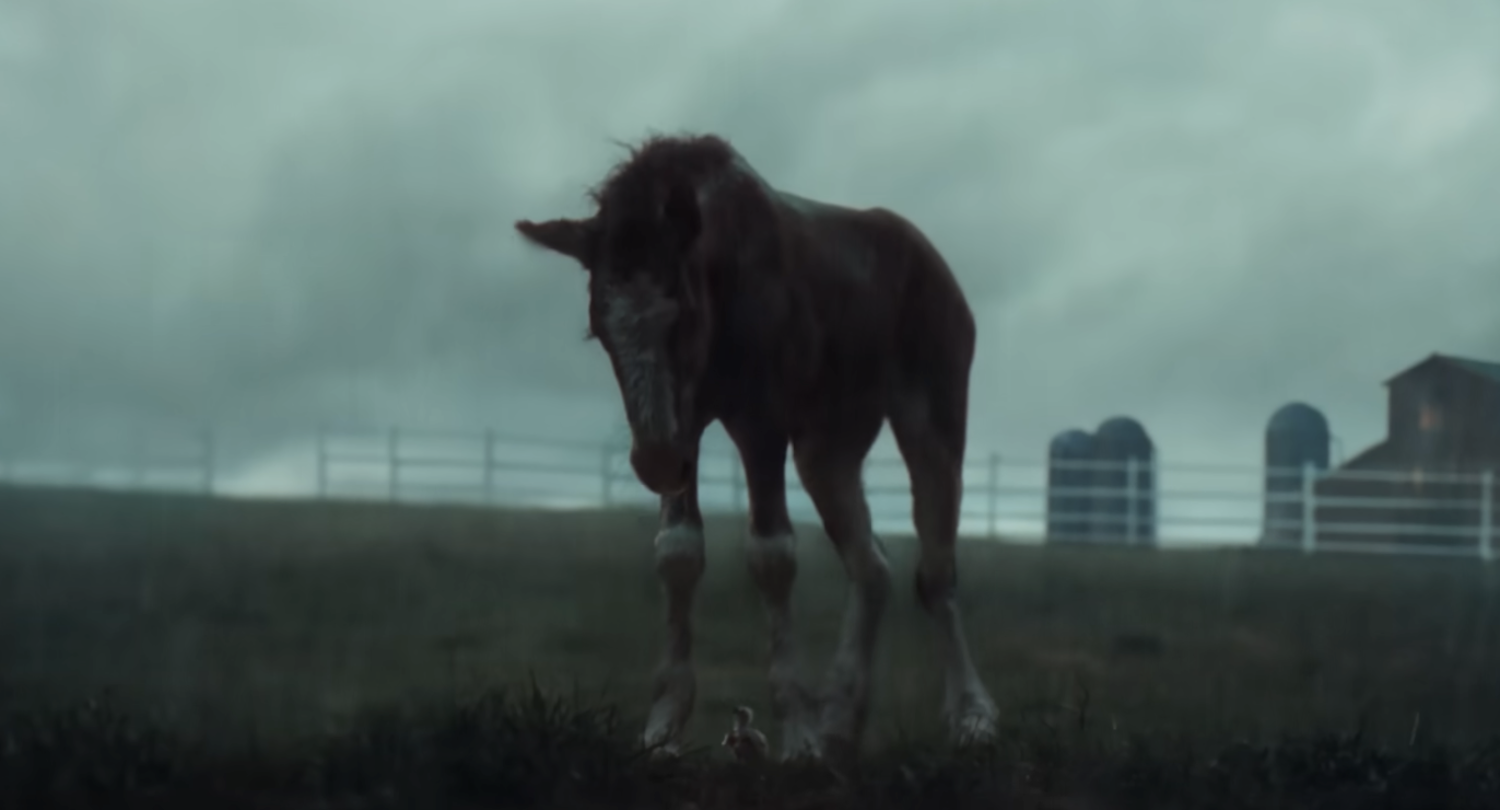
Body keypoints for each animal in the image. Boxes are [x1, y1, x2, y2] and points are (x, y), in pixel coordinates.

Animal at [515, 133, 998, 762]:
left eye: (682, 314)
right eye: (600, 328)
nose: (654, 462)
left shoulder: (761, 422)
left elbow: (772, 555)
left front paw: (796, 732)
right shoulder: (688, 427)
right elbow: (678, 552)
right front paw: (663, 727)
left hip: (930, 420)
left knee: (934, 571)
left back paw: (971, 716)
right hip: (827, 449)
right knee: (871, 566)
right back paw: (840, 721)